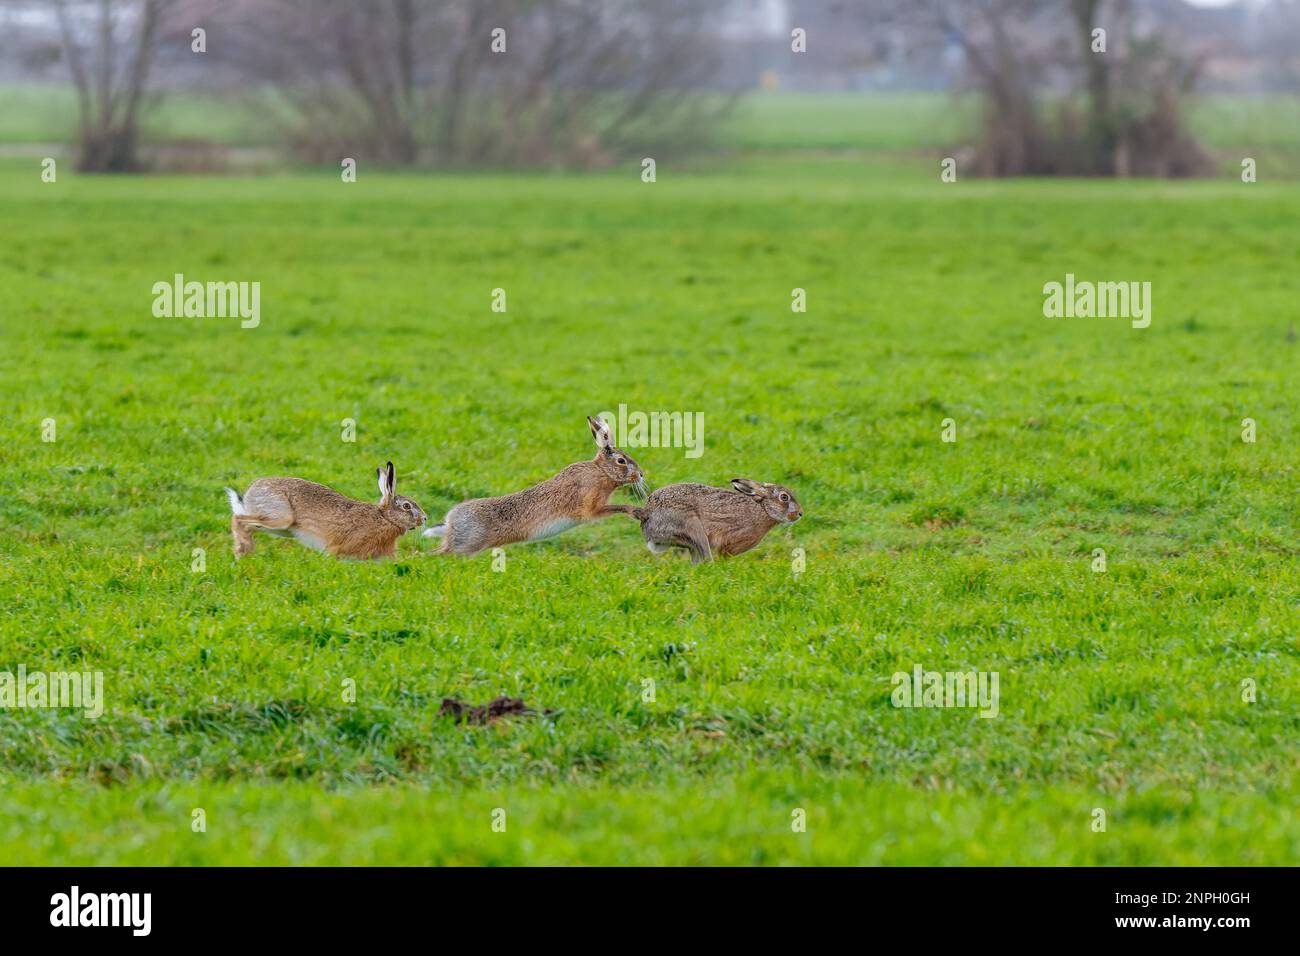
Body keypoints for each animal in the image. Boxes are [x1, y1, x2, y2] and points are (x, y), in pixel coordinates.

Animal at [226, 461, 427, 560]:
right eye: (407, 506)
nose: (424, 518)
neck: (385, 518)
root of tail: (250, 493)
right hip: (280, 517)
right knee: (238, 519)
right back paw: (243, 550)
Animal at [423, 415, 645, 557]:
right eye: (621, 461)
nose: (642, 474)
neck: (602, 472)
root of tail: (450, 521)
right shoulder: (591, 507)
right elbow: (615, 508)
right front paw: (636, 511)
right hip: (467, 544)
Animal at [627, 478, 802, 563]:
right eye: (784, 497)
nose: (800, 514)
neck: (764, 509)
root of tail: (646, 512)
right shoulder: (731, 542)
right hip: (693, 528)